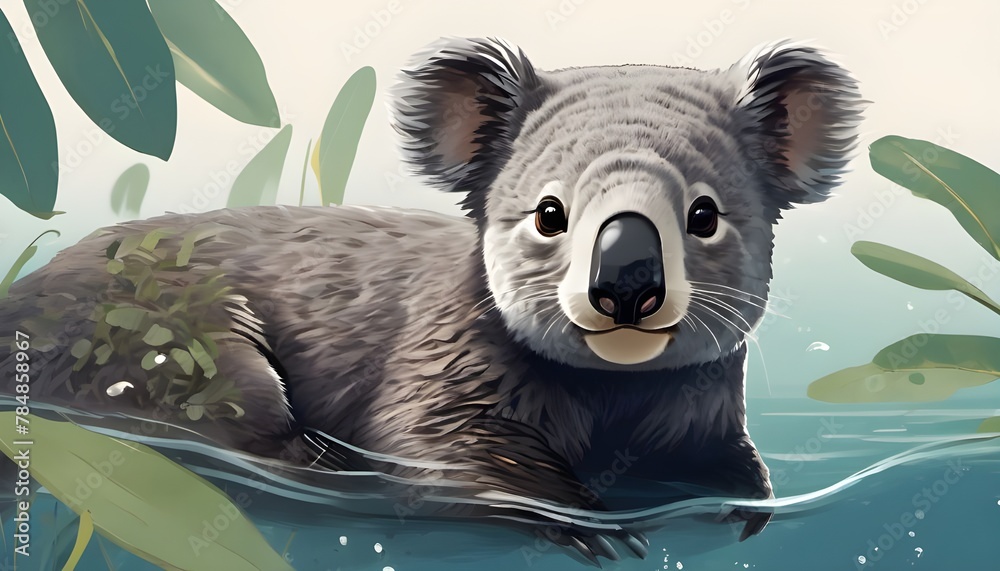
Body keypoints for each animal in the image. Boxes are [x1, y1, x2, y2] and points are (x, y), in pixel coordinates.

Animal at [0, 37, 863, 564]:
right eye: (550, 213)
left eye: (704, 215)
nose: (626, 283)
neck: (610, 388)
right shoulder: (444, 382)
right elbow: (436, 453)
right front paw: (587, 524)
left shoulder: (694, 405)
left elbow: (723, 470)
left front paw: (739, 507)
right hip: (150, 337)